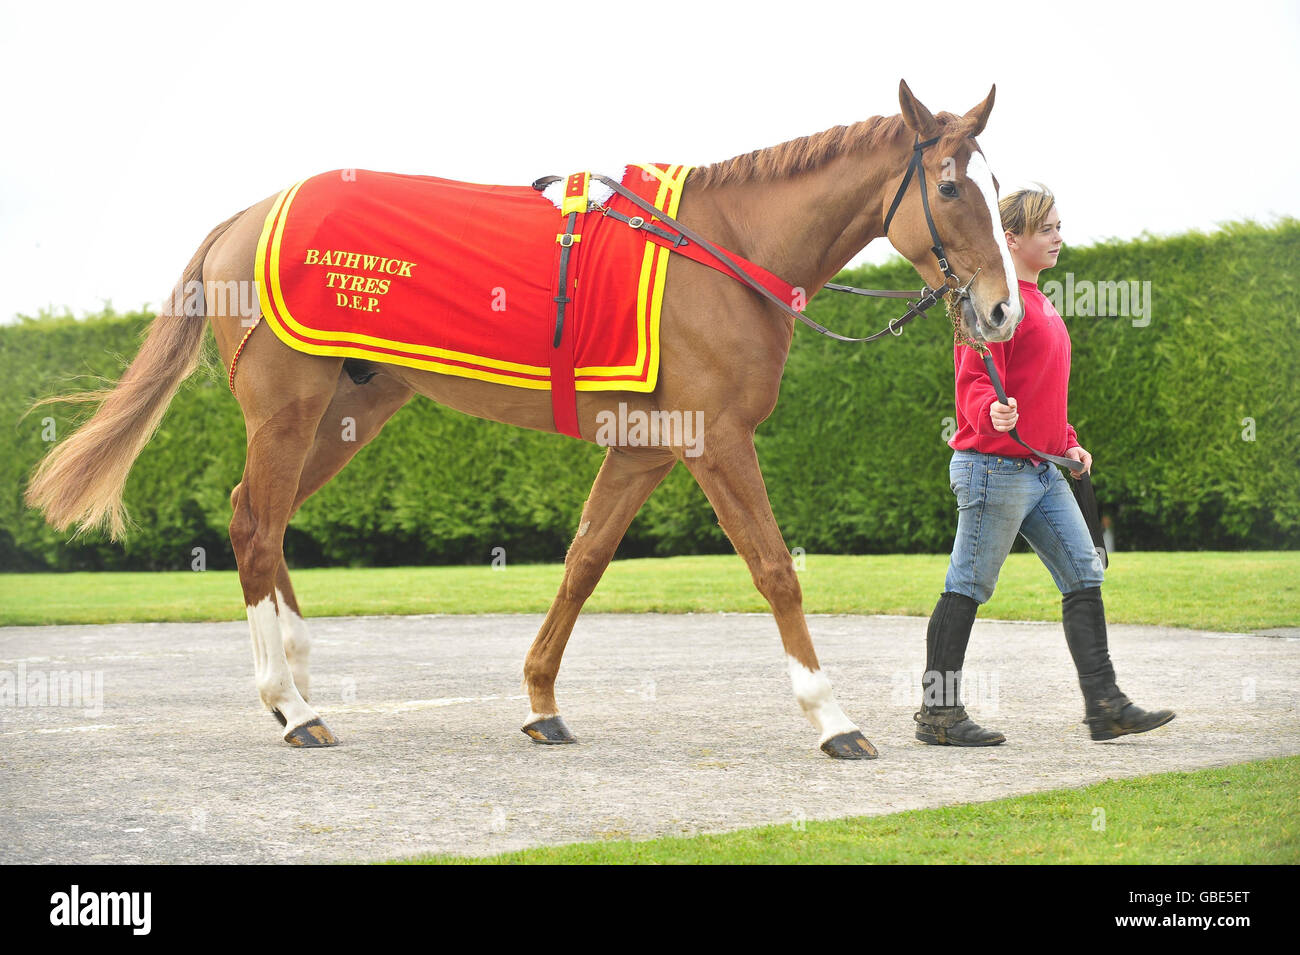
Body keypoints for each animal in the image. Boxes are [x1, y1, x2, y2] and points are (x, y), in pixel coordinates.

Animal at [26, 80, 1023, 759]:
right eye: (950, 188)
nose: (1003, 310)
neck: (722, 252)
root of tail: (245, 216)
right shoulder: (716, 441)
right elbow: (776, 569)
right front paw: (832, 716)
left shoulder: (647, 450)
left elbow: (582, 563)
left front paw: (542, 700)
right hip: (290, 406)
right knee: (254, 523)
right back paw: (294, 703)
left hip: (350, 411)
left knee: (256, 515)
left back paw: (295, 683)